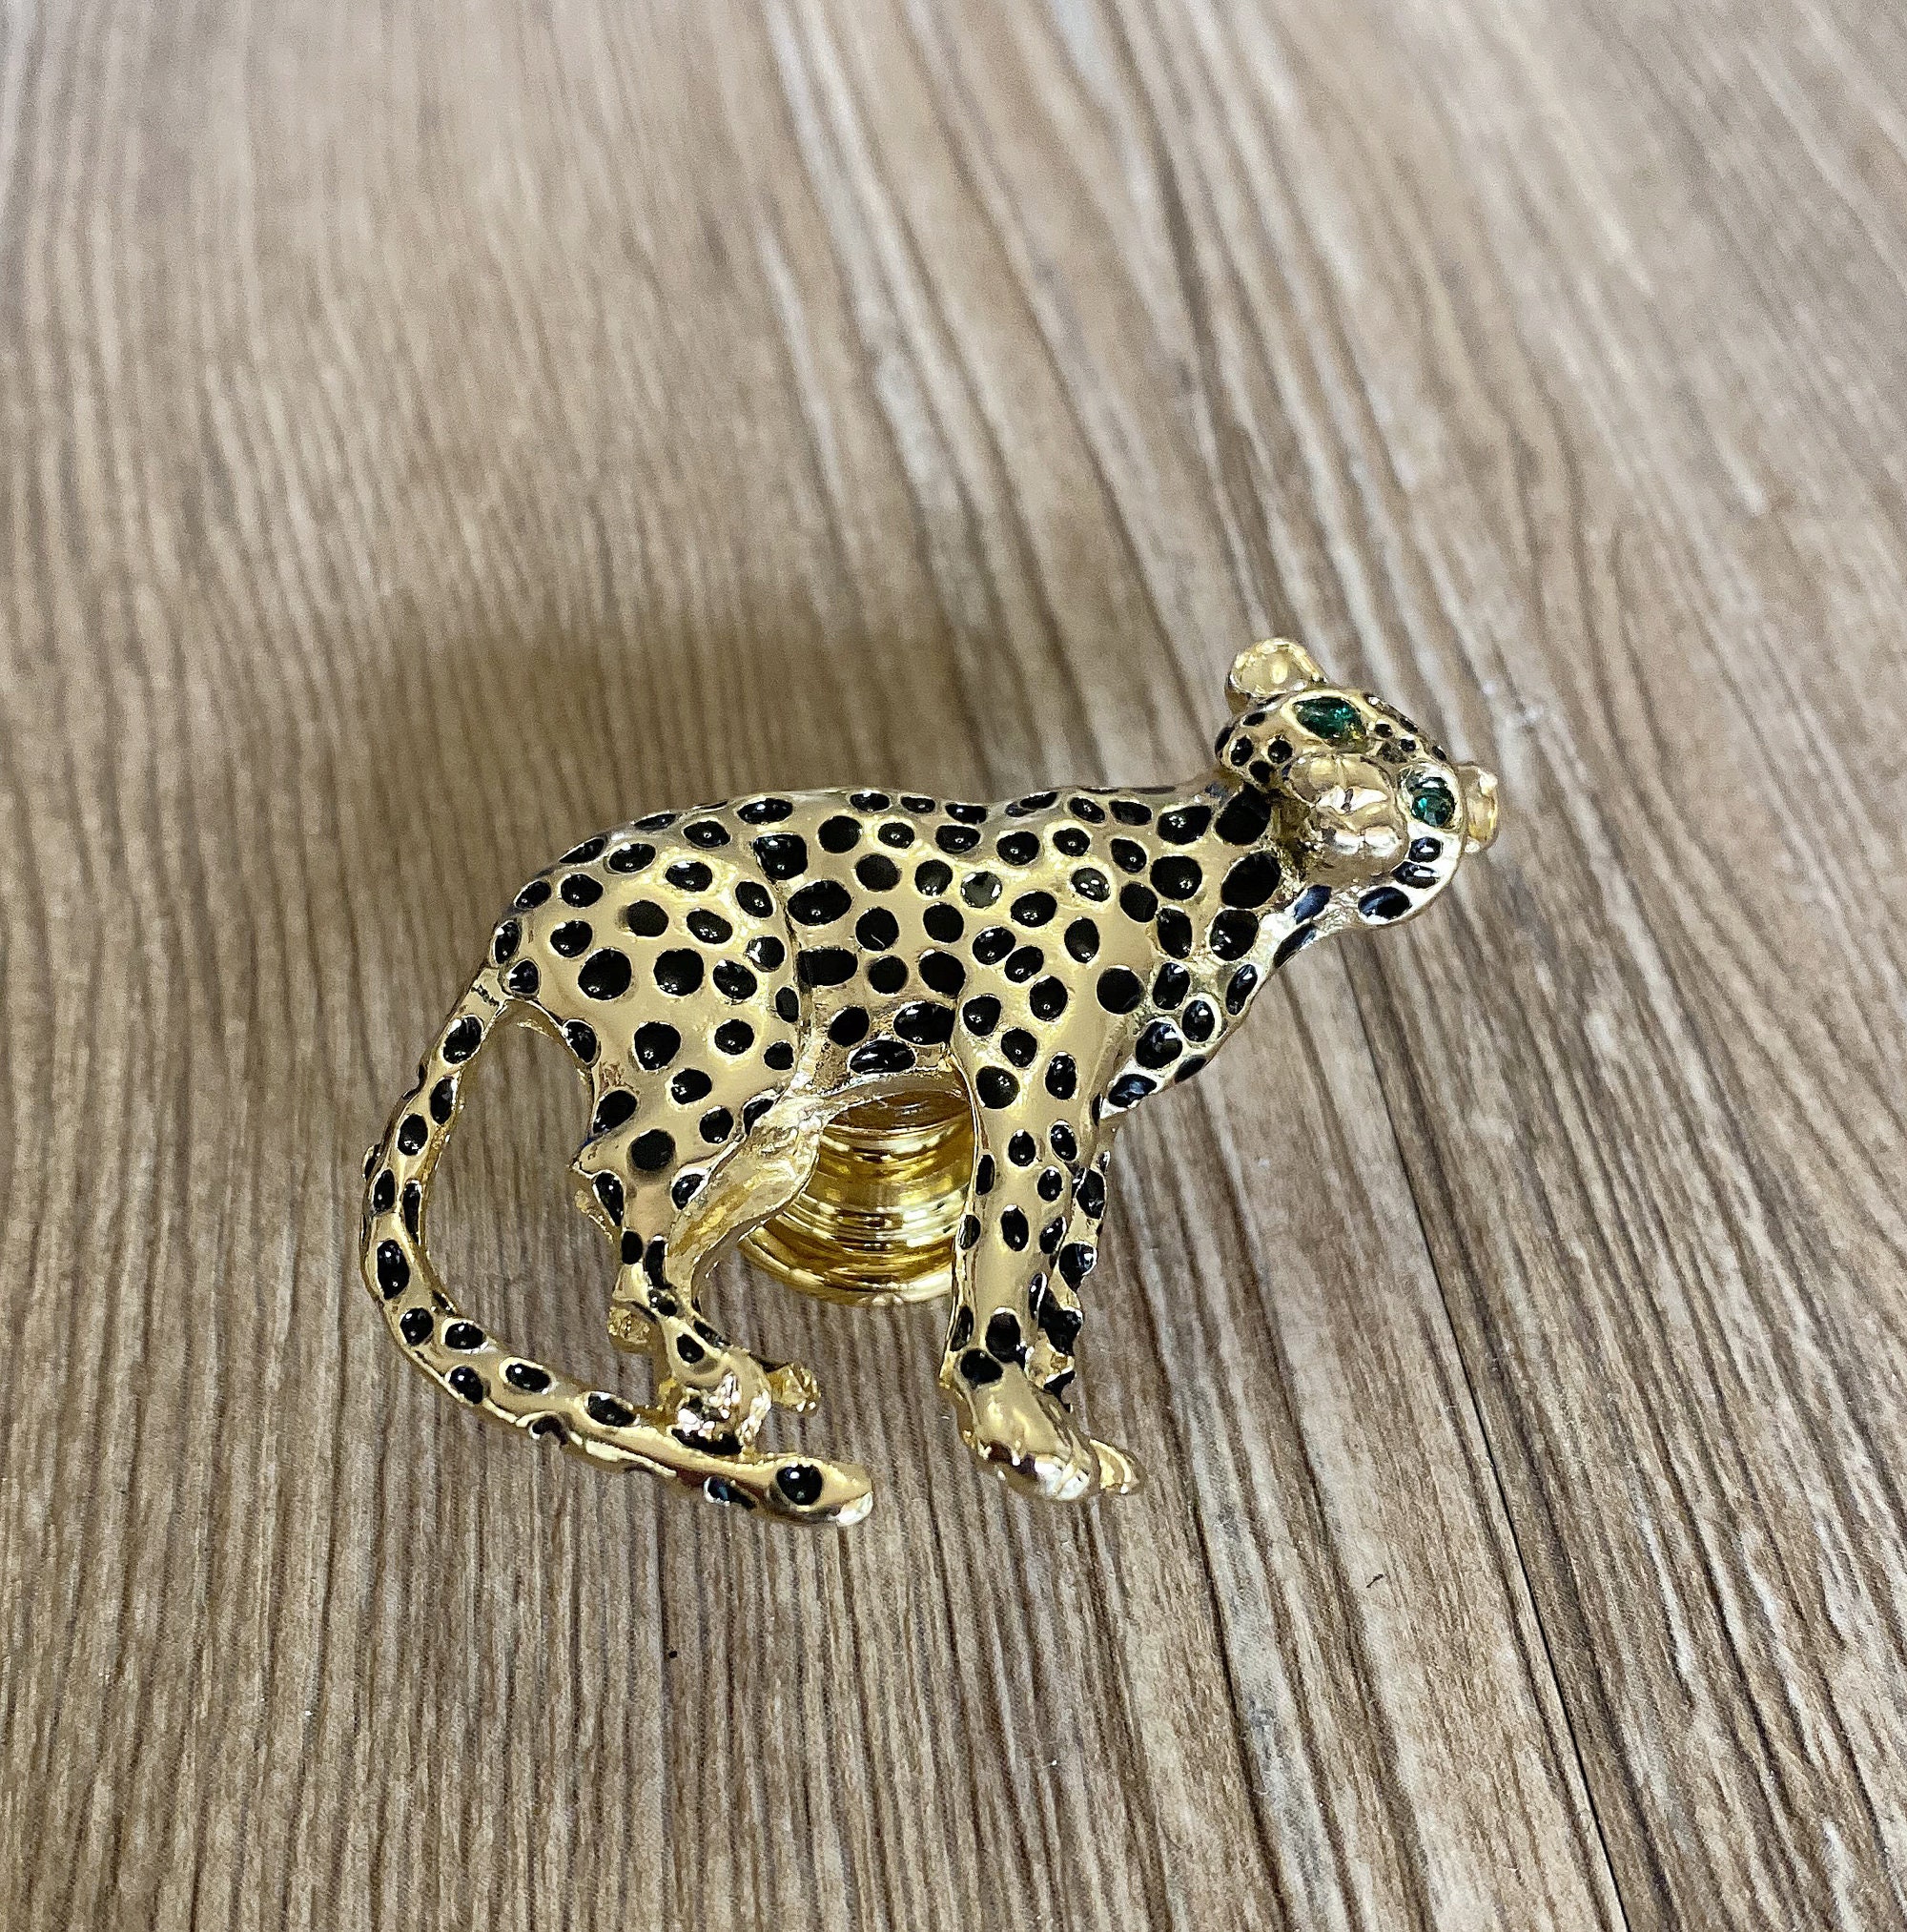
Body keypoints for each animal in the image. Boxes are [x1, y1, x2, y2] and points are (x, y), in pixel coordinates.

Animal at [360, 640, 1499, 1526]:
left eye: (1428, 799)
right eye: (1329, 713)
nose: (1350, 796)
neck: (1250, 882)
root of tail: (521, 916)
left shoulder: (1090, 1134)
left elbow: (1063, 1289)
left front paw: (1063, 1420)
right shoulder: (1029, 1109)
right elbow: (999, 1280)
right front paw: (1017, 1436)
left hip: (781, 1131)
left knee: (652, 1237)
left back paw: (714, 1384)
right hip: (733, 1046)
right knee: (610, 1182)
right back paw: (719, 1374)